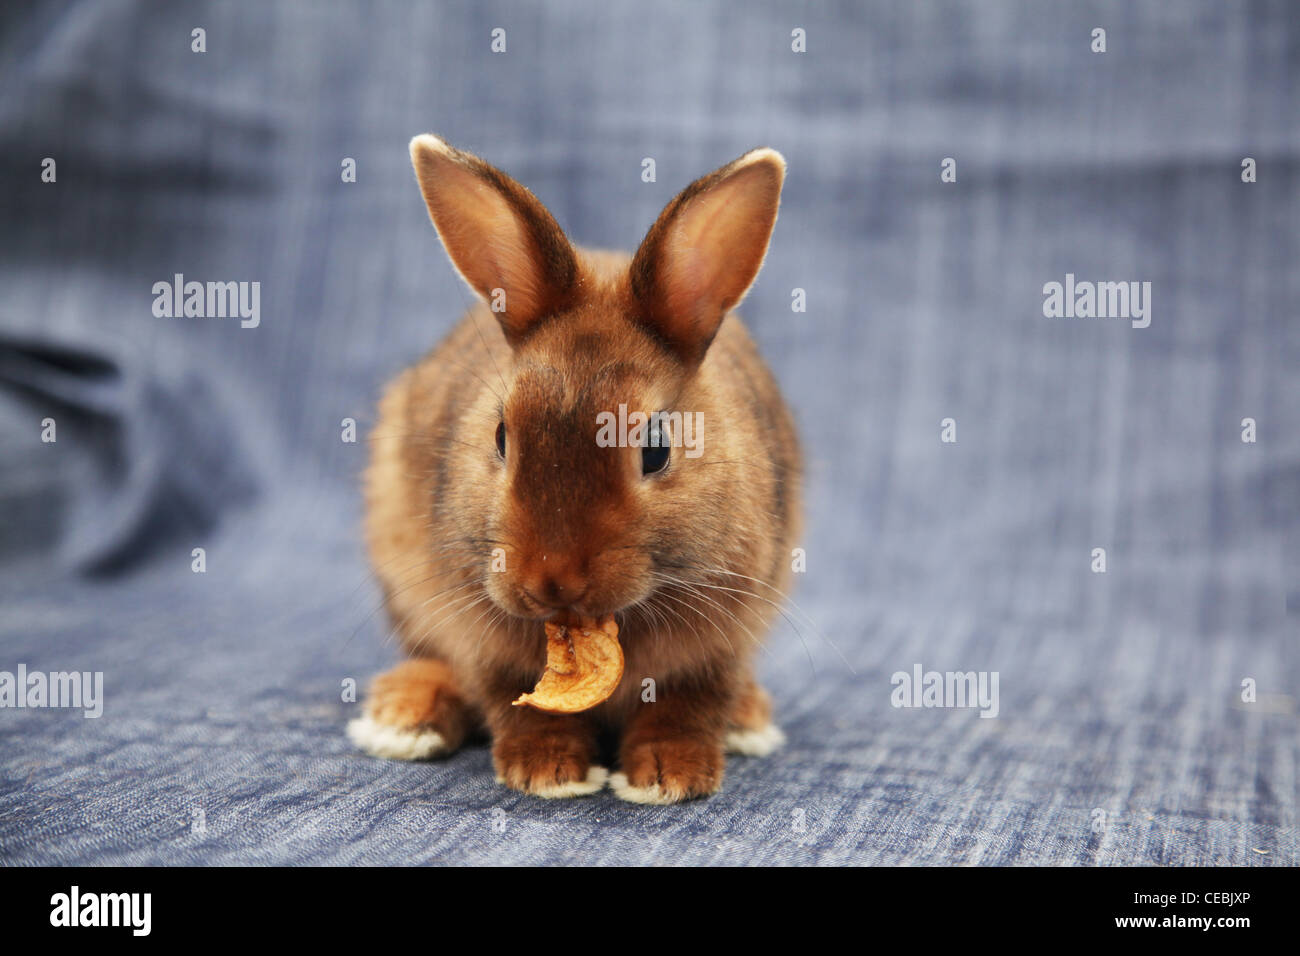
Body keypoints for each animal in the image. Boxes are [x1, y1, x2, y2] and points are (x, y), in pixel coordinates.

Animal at [347, 135, 802, 804]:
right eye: (501, 436)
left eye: (657, 448)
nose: (550, 580)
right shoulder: (486, 639)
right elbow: (519, 704)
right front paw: (548, 771)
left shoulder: (719, 643)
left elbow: (685, 710)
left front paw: (668, 776)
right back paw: (405, 717)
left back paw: (749, 719)